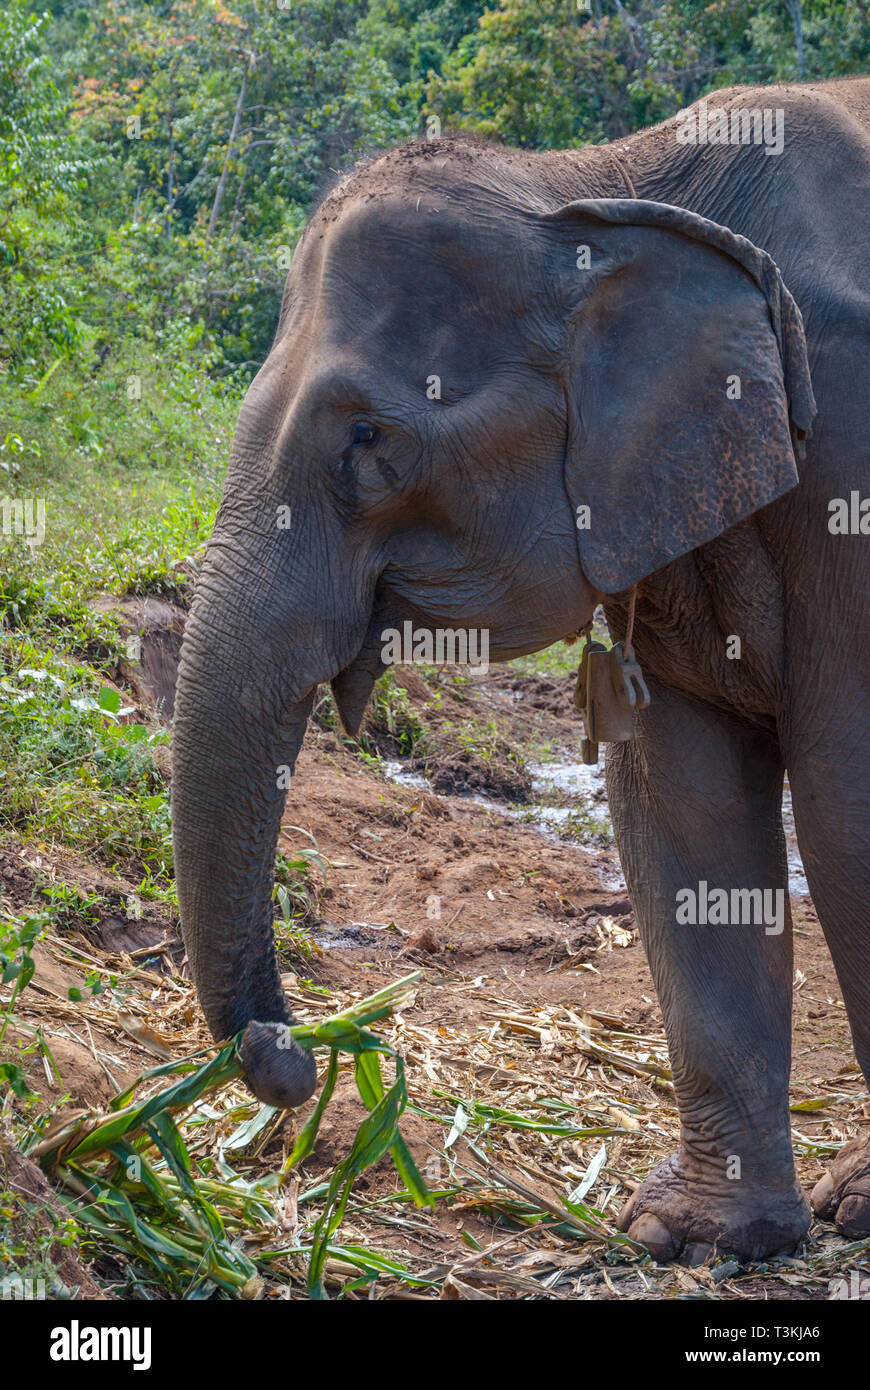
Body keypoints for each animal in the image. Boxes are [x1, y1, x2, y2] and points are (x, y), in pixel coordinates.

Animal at [171, 76, 870, 1264]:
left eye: (368, 439)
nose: (300, 1057)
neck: (596, 182)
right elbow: (680, 806)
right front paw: (698, 1237)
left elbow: (842, 805)